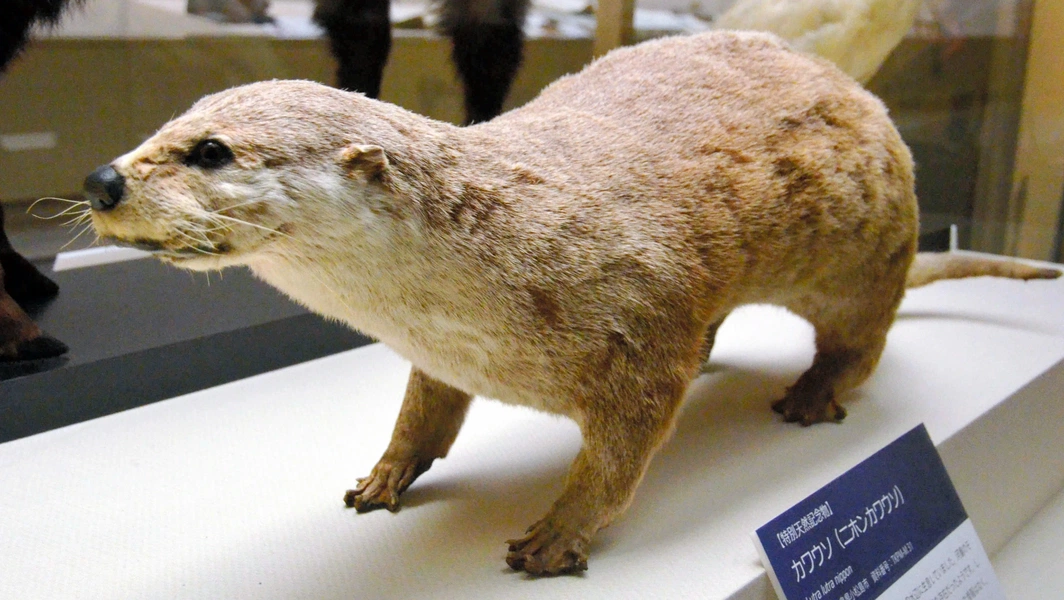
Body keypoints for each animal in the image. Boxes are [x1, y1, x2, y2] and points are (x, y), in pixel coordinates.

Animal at [83, 31, 1060, 575]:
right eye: (162, 129)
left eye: (211, 151)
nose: (101, 179)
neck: (508, 248)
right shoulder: (438, 354)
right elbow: (421, 418)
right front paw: (385, 476)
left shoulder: (644, 332)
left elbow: (620, 460)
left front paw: (556, 537)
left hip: (867, 262)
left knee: (862, 343)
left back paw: (813, 395)